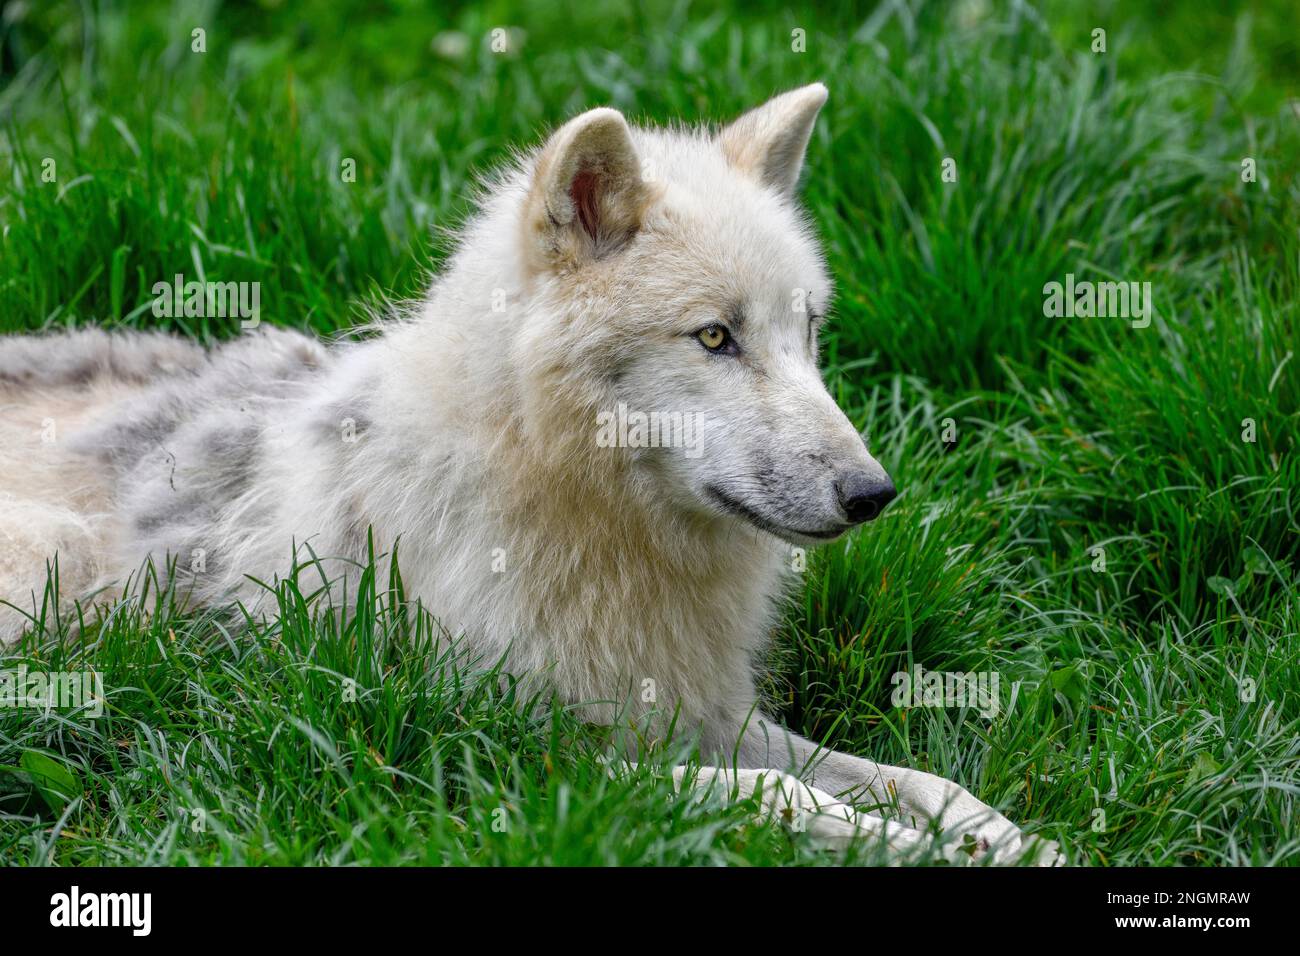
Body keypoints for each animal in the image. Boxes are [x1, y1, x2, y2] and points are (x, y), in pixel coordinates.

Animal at [0, 84, 1057, 863]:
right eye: (716, 337)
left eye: (808, 334)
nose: (872, 494)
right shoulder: (509, 761)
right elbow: (785, 800)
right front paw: (912, 848)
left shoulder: (702, 713)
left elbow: (916, 782)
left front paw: (1009, 839)